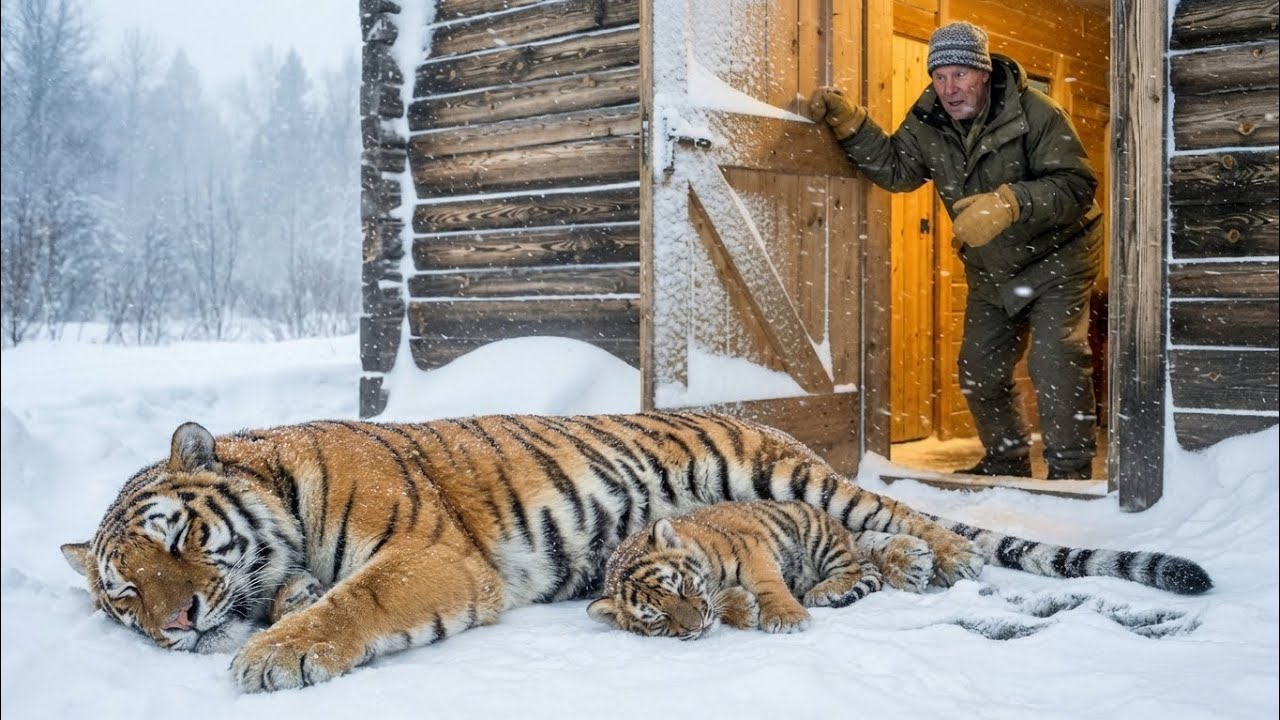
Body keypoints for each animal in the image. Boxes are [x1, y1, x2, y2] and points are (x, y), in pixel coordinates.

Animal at [587, 500, 891, 638]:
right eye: (659, 618)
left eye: (682, 588)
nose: (697, 626)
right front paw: (743, 608)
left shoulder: (749, 549)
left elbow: (767, 583)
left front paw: (786, 617)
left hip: (817, 535)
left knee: (851, 568)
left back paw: (822, 592)